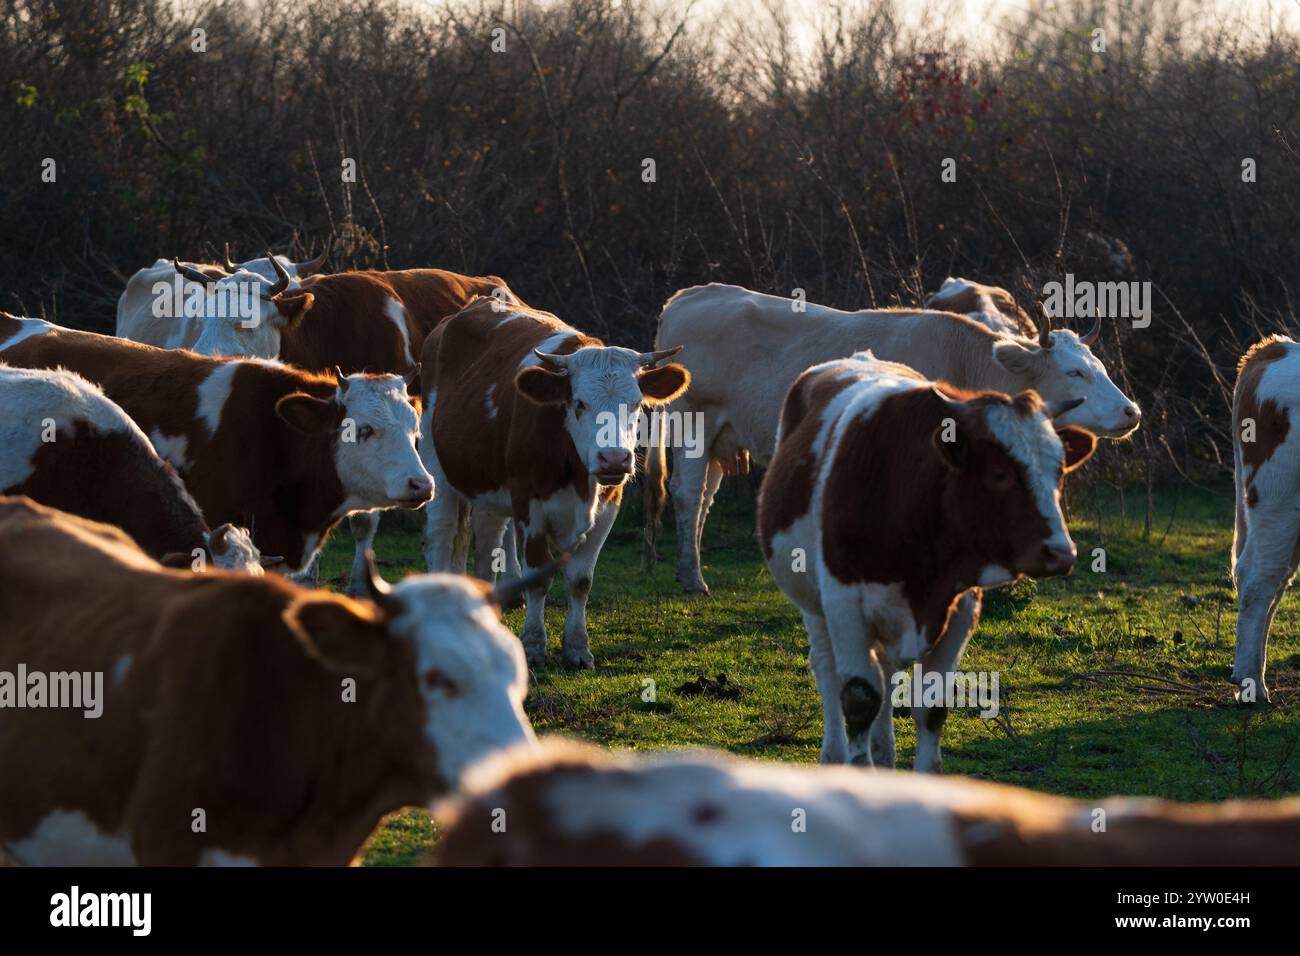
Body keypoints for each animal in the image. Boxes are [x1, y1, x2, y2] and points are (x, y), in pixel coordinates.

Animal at [171, 261, 528, 594]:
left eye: (246, 323)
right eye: (202, 318)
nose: (200, 360)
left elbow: (364, 520)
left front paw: (357, 584)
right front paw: (306, 580)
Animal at [419, 296, 690, 669]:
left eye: (636, 404)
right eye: (579, 403)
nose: (614, 459)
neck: (578, 477)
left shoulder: (608, 509)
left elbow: (580, 581)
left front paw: (577, 648)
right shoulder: (529, 505)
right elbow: (539, 578)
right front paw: (533, 645)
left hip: (490, 492)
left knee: (487, 547)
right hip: (438, 471)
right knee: (441, 537)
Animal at [643, 283, 1139, 593]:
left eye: (1099, 367)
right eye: (1075, 372)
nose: (1130, 411)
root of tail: (689, 296)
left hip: (719, 435)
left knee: (703, 498)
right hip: (694, 420)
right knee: (686, 494)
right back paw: (693, 578)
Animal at [757, 351, 1095, 770]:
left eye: (1059, 473)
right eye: (999, 474)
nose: (1061, 553)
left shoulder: (959, 609)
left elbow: (931, 706)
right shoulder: (844, 605)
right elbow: (860, 698)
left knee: (884, 672)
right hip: (812, 604)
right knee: (828, 669)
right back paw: (834, 754)